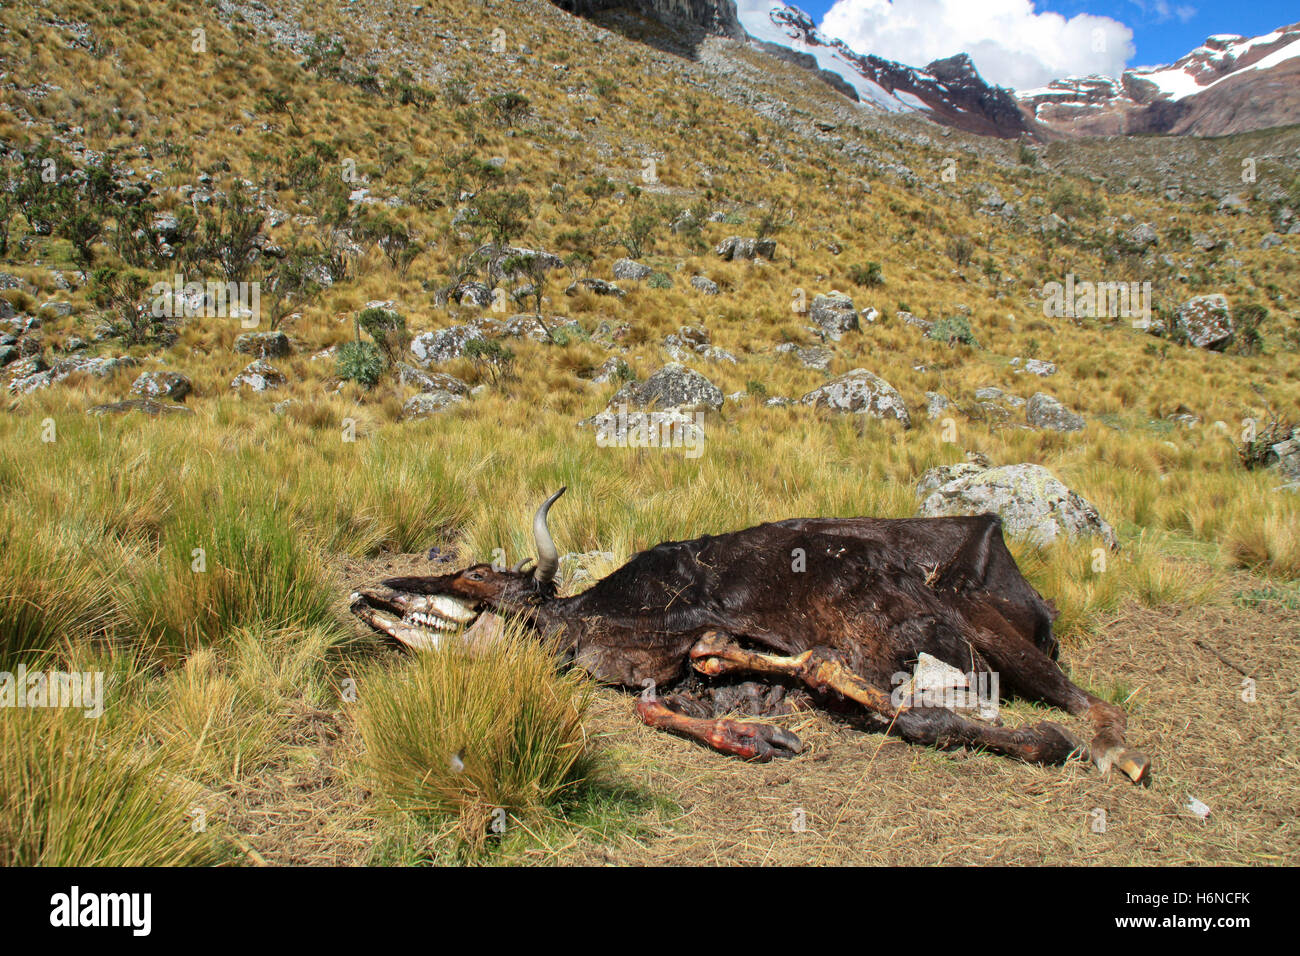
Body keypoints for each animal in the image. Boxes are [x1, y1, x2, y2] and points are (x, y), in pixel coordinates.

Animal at [350, 488, 1150, 784]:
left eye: (474, 571)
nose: (366, 590)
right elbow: (663, 696)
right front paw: (756, 735)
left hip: (978, 618)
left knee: (1094, 708)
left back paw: (1116, 753)